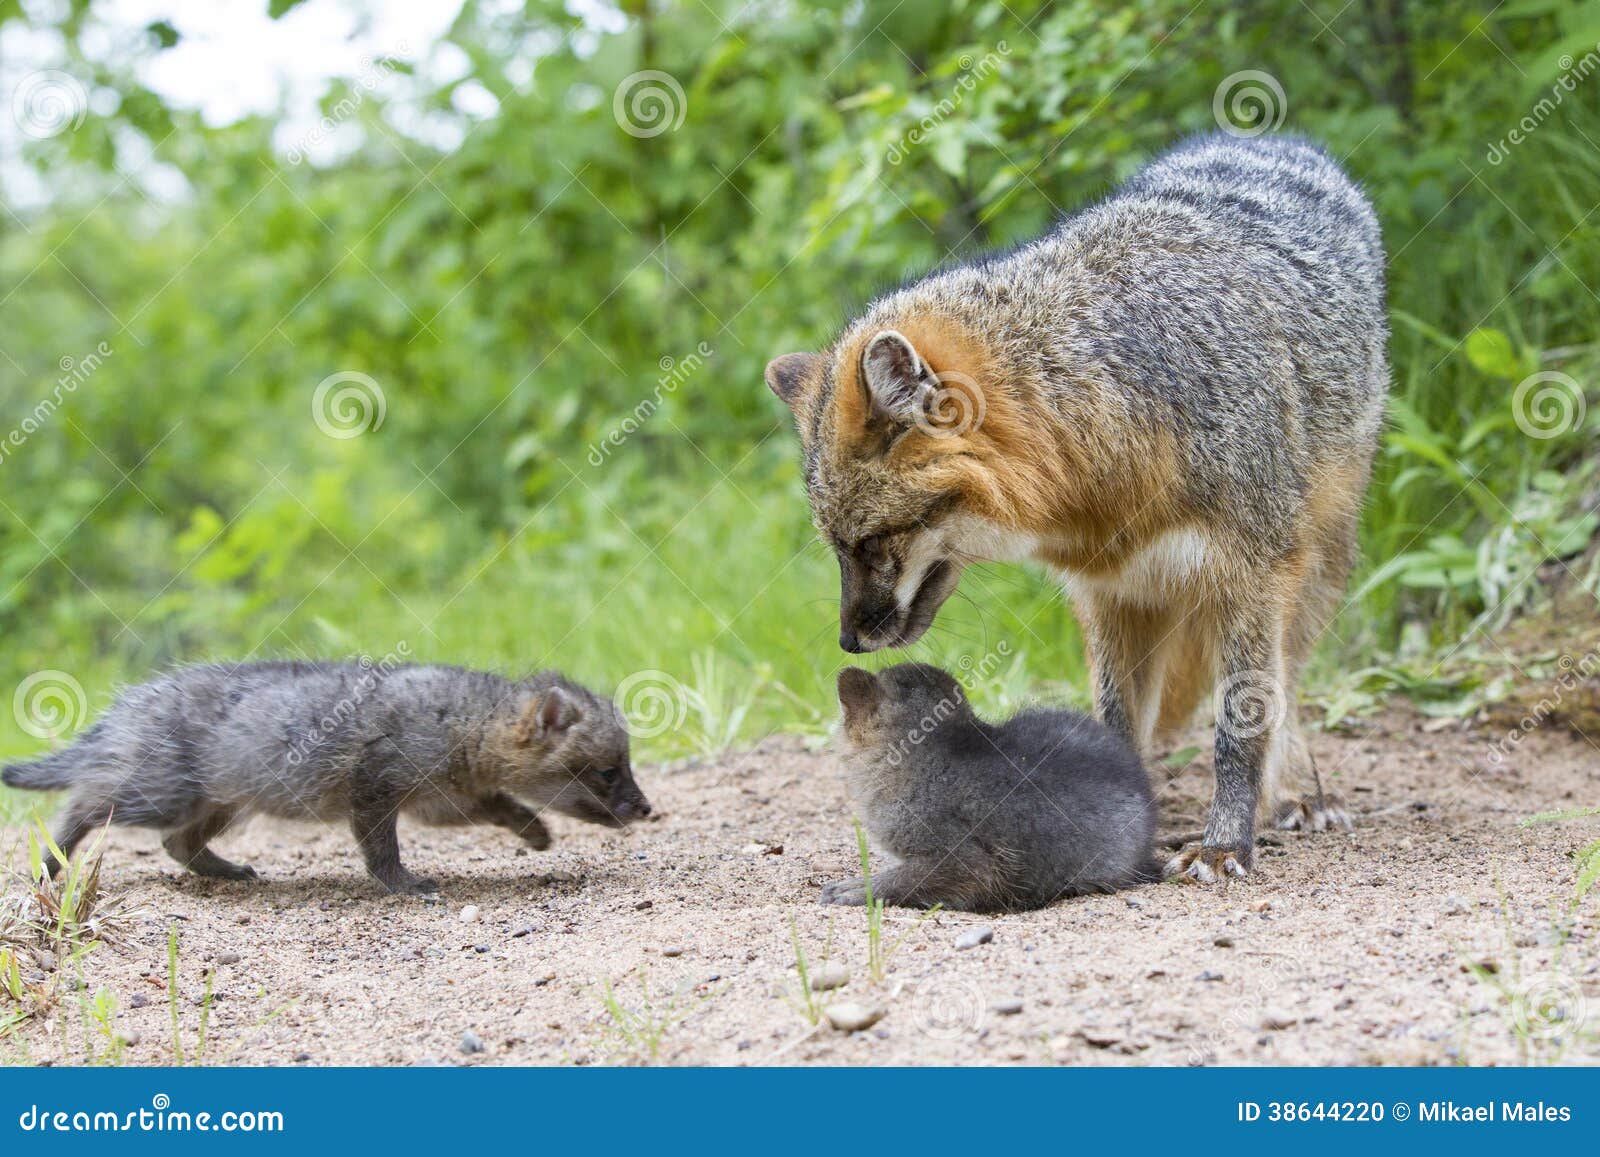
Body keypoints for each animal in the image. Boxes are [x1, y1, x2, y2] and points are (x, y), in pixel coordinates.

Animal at [1, 662, 652, 894]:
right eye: (607, 772)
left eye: (625, 767)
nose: (647, 810)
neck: (460, 719)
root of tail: (129, 705)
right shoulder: (375, 795)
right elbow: (382, 854)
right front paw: (404, 886)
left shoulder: (439, 801)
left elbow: (501, 805)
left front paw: (534, 831)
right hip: (158, 794)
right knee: (86, 798)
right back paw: (51, 861)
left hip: (220, 806)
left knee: (177, 844)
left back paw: (228, 872)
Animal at [763, 134, 1387, 884]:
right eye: (840, 546)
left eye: (873, 541)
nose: (849, 642)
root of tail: (1267, 139)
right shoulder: (1112, 592)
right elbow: (1114, 725)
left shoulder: (1248, 577)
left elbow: (1241, 728)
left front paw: (1224, 842)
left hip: (1313, 572)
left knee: (1285, 687)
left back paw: (1292, 792)